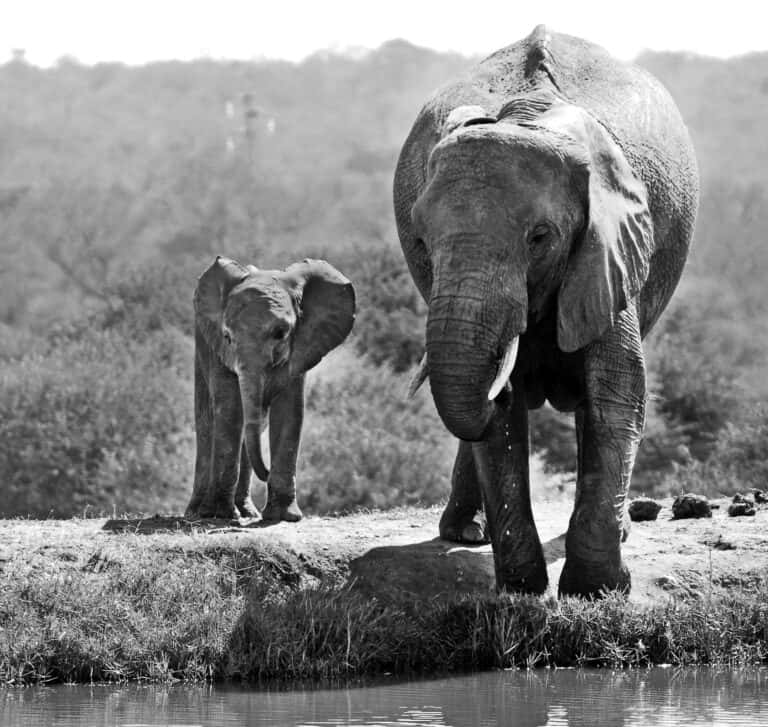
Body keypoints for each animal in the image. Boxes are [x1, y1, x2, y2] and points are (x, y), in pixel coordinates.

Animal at [185, 256, 355, 522]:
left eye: (280, 333)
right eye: (227, 337)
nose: (266, 472)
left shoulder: (302, 347)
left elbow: (289, 411)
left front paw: (283, 517)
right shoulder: (218, 351)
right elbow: (231, 409)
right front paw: (219, 516)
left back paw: (247, 513)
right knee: (208, 424)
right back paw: (198, 513)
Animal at [393, 26, 698, 597]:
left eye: (540, 238)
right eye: (421, 241)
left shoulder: (609, 248)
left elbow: (617, 394)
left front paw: (595, 591)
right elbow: (501, 417)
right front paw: (522, 590)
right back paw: (464, 534)